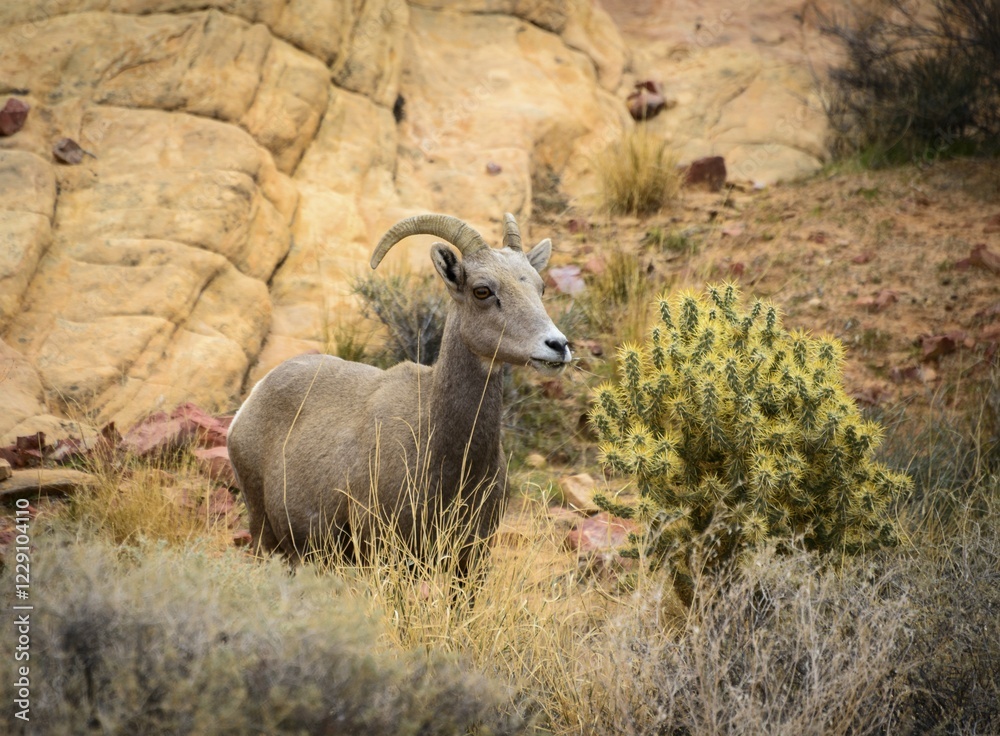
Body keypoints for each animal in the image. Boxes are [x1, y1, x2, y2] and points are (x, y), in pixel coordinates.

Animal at [227, 212, 571, 578]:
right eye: (482, 290)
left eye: (540, 287)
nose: (558, 345)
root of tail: (249, 404)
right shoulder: (388, 558)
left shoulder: (470, 562)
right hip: (266, 536)